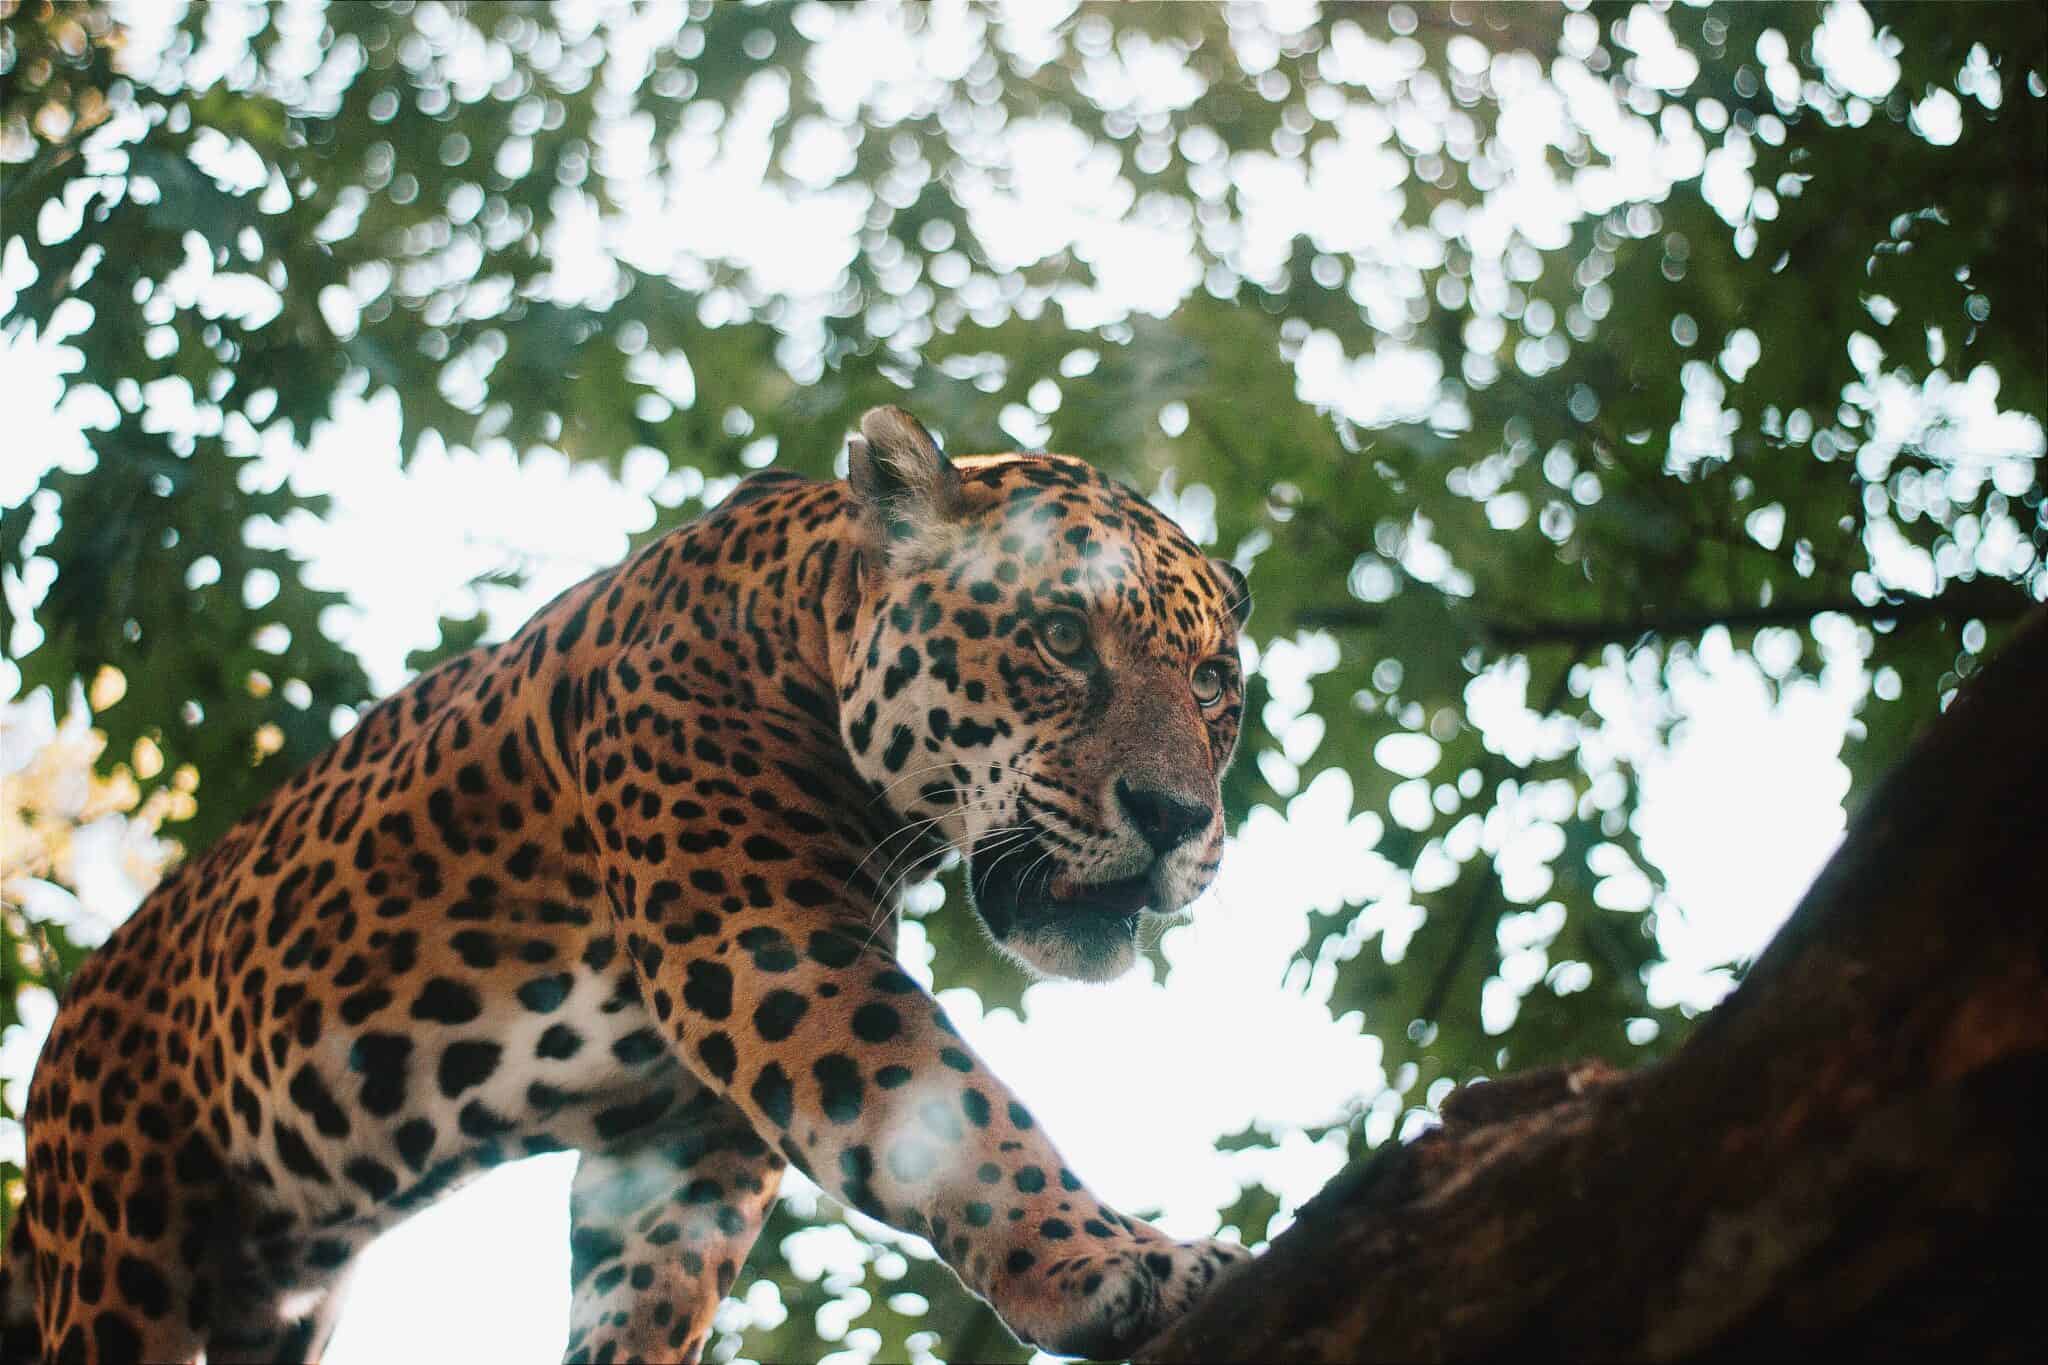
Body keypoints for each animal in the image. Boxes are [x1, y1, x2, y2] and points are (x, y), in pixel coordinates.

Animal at [0, 406, 1256, 1364]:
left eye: (1210, 683)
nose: (1175, 818)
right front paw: (1112, 1263)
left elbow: (651, 1294)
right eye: (1059, 638)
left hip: (280, 1304)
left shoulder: (689, 1135)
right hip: (119, 1243)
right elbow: (967, 1120)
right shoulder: (769, 951)